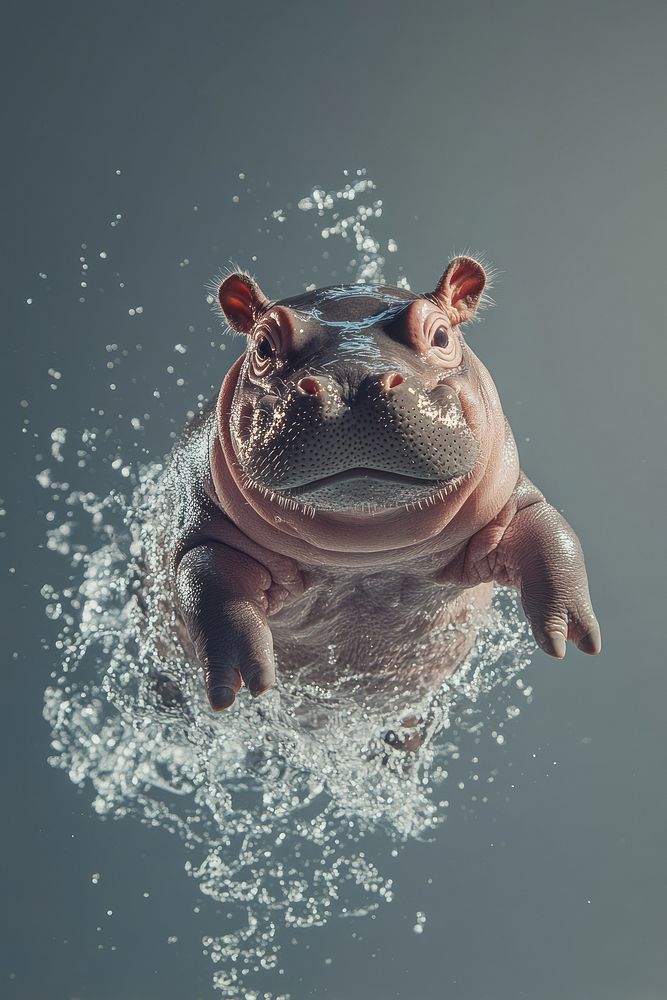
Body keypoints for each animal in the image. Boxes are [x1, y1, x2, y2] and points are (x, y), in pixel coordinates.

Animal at [165, 256, 600, 743]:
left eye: (441, 336)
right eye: (262, 345)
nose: (351, 379)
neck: (367, 543)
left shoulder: (509, 505)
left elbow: (549, 535)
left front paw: (568, 633)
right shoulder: (203, 529)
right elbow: (208, 584)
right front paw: (248, 680)